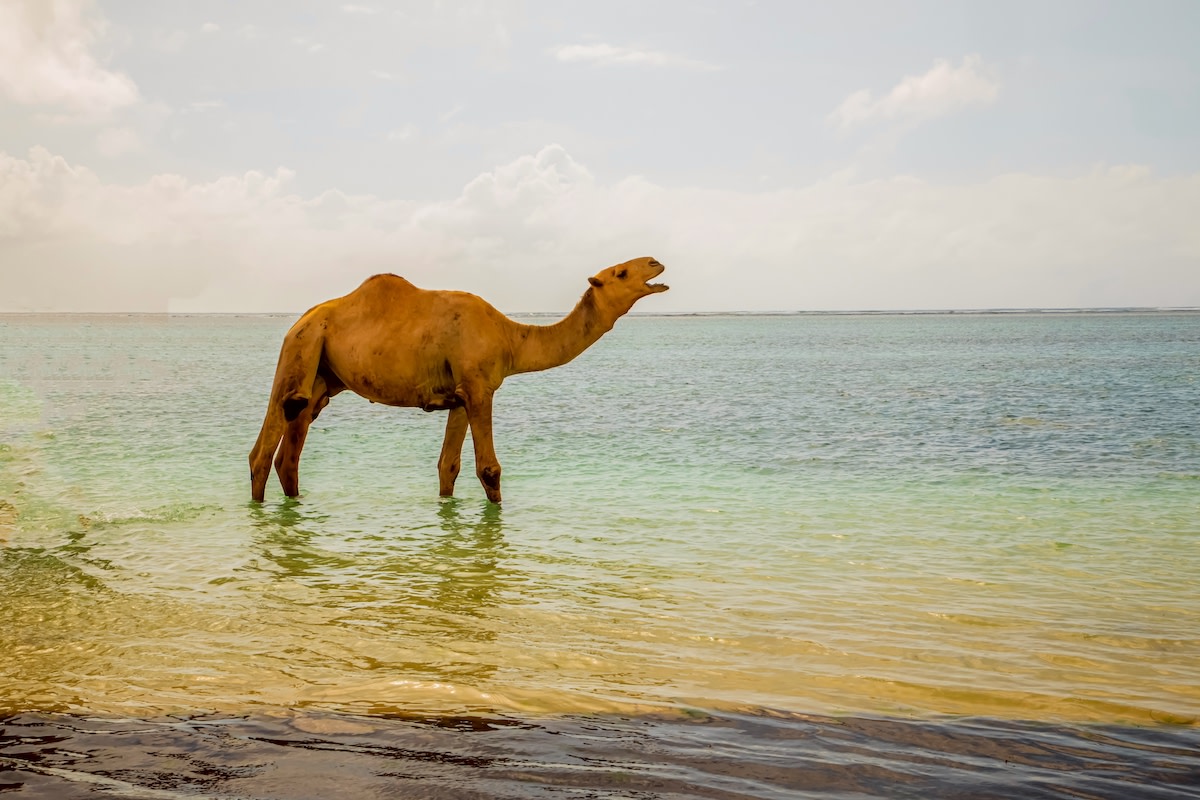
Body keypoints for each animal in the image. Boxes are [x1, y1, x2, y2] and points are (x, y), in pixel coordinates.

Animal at [249, 256, 668, 504]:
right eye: (621, 273)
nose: (656, 263)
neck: (510, 337)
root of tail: (299, 321)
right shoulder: (480, 387)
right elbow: (489, 469)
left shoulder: (462, 395)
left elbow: (448, 465)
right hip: (299, 349)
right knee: (265, 447)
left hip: (321, 377)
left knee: (290, 451)